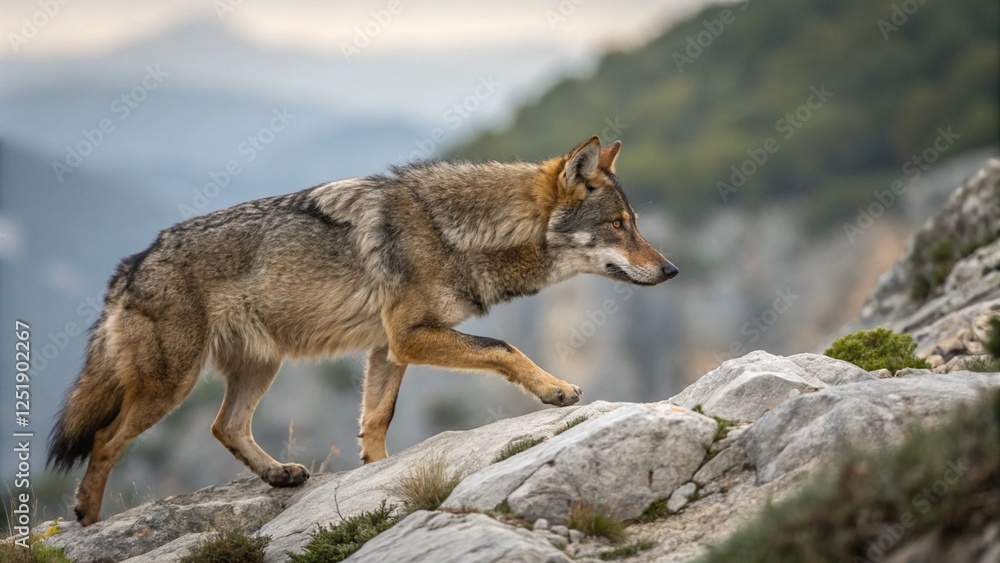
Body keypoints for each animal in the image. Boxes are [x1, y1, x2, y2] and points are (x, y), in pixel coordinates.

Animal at [47, 136, 678, 525]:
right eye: (619, 226)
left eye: (635, 224)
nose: (672, 270)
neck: (457, 231)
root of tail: (131, 264)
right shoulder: (409, 337)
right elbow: (504, 346)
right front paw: (555, 389)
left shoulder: (388, 348)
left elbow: (376, 422)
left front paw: (374, 478)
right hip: (169, 386)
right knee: (105, 442)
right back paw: (89, 521)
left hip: (258, 367)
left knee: (223, 426)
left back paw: (279, 474)